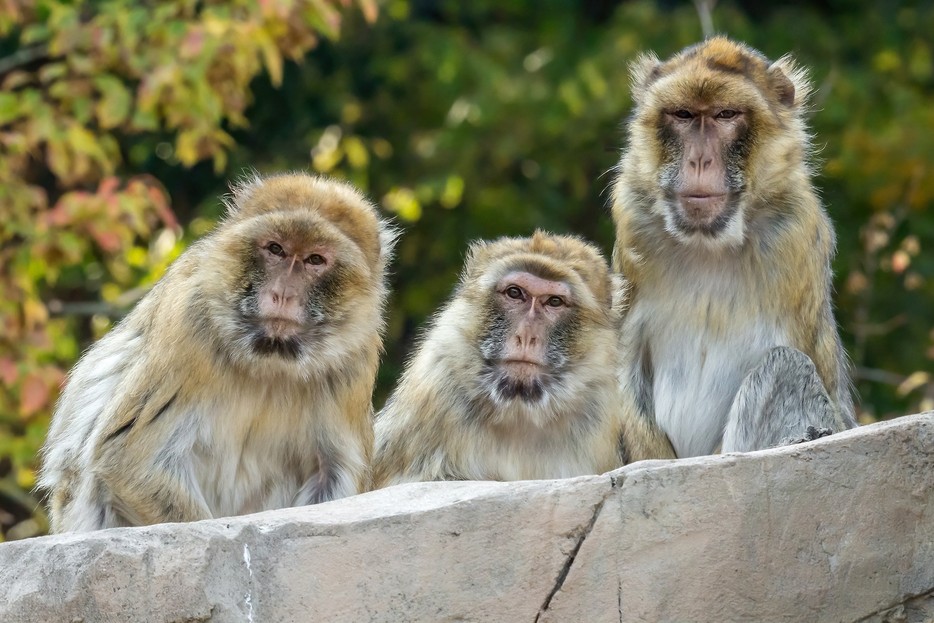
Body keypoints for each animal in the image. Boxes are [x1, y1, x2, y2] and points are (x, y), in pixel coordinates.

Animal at [38, 172, 396, 532]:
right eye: (275, 249)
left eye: (315, 260)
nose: (283, 294)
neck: (269, 360)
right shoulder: (189, 324)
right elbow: (129, 458)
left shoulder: (357, 355)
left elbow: (333, 473)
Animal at [610, 36, 857, 458]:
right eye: (683, 114)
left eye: (726, 114)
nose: (699, 160)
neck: (709, 244)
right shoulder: (632, 228)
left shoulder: (797, 236)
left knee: (786, 365)